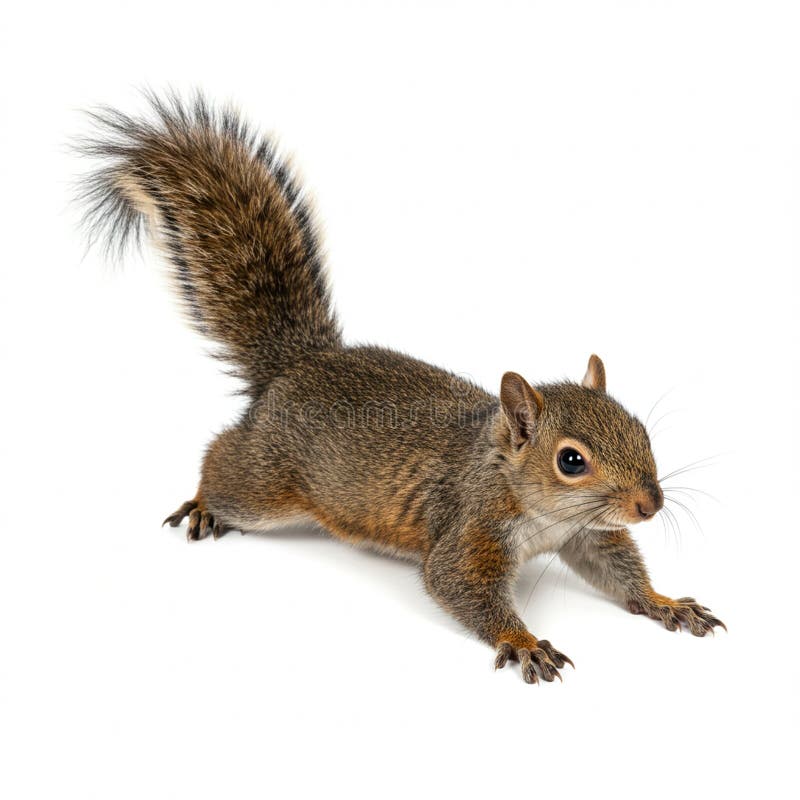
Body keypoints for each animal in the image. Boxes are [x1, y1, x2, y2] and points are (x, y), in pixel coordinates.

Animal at [78, 92, 725, 684]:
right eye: (571, 461)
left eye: (641, 431)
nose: (650, 505)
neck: (523, 491)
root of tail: (299, 365)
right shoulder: (470, 526)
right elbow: (456, 582)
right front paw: (523, 641)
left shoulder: (588, 534)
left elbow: (619, 571)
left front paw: (666, 603)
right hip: (265, 484)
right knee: (221, 462)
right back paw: (204, 505)